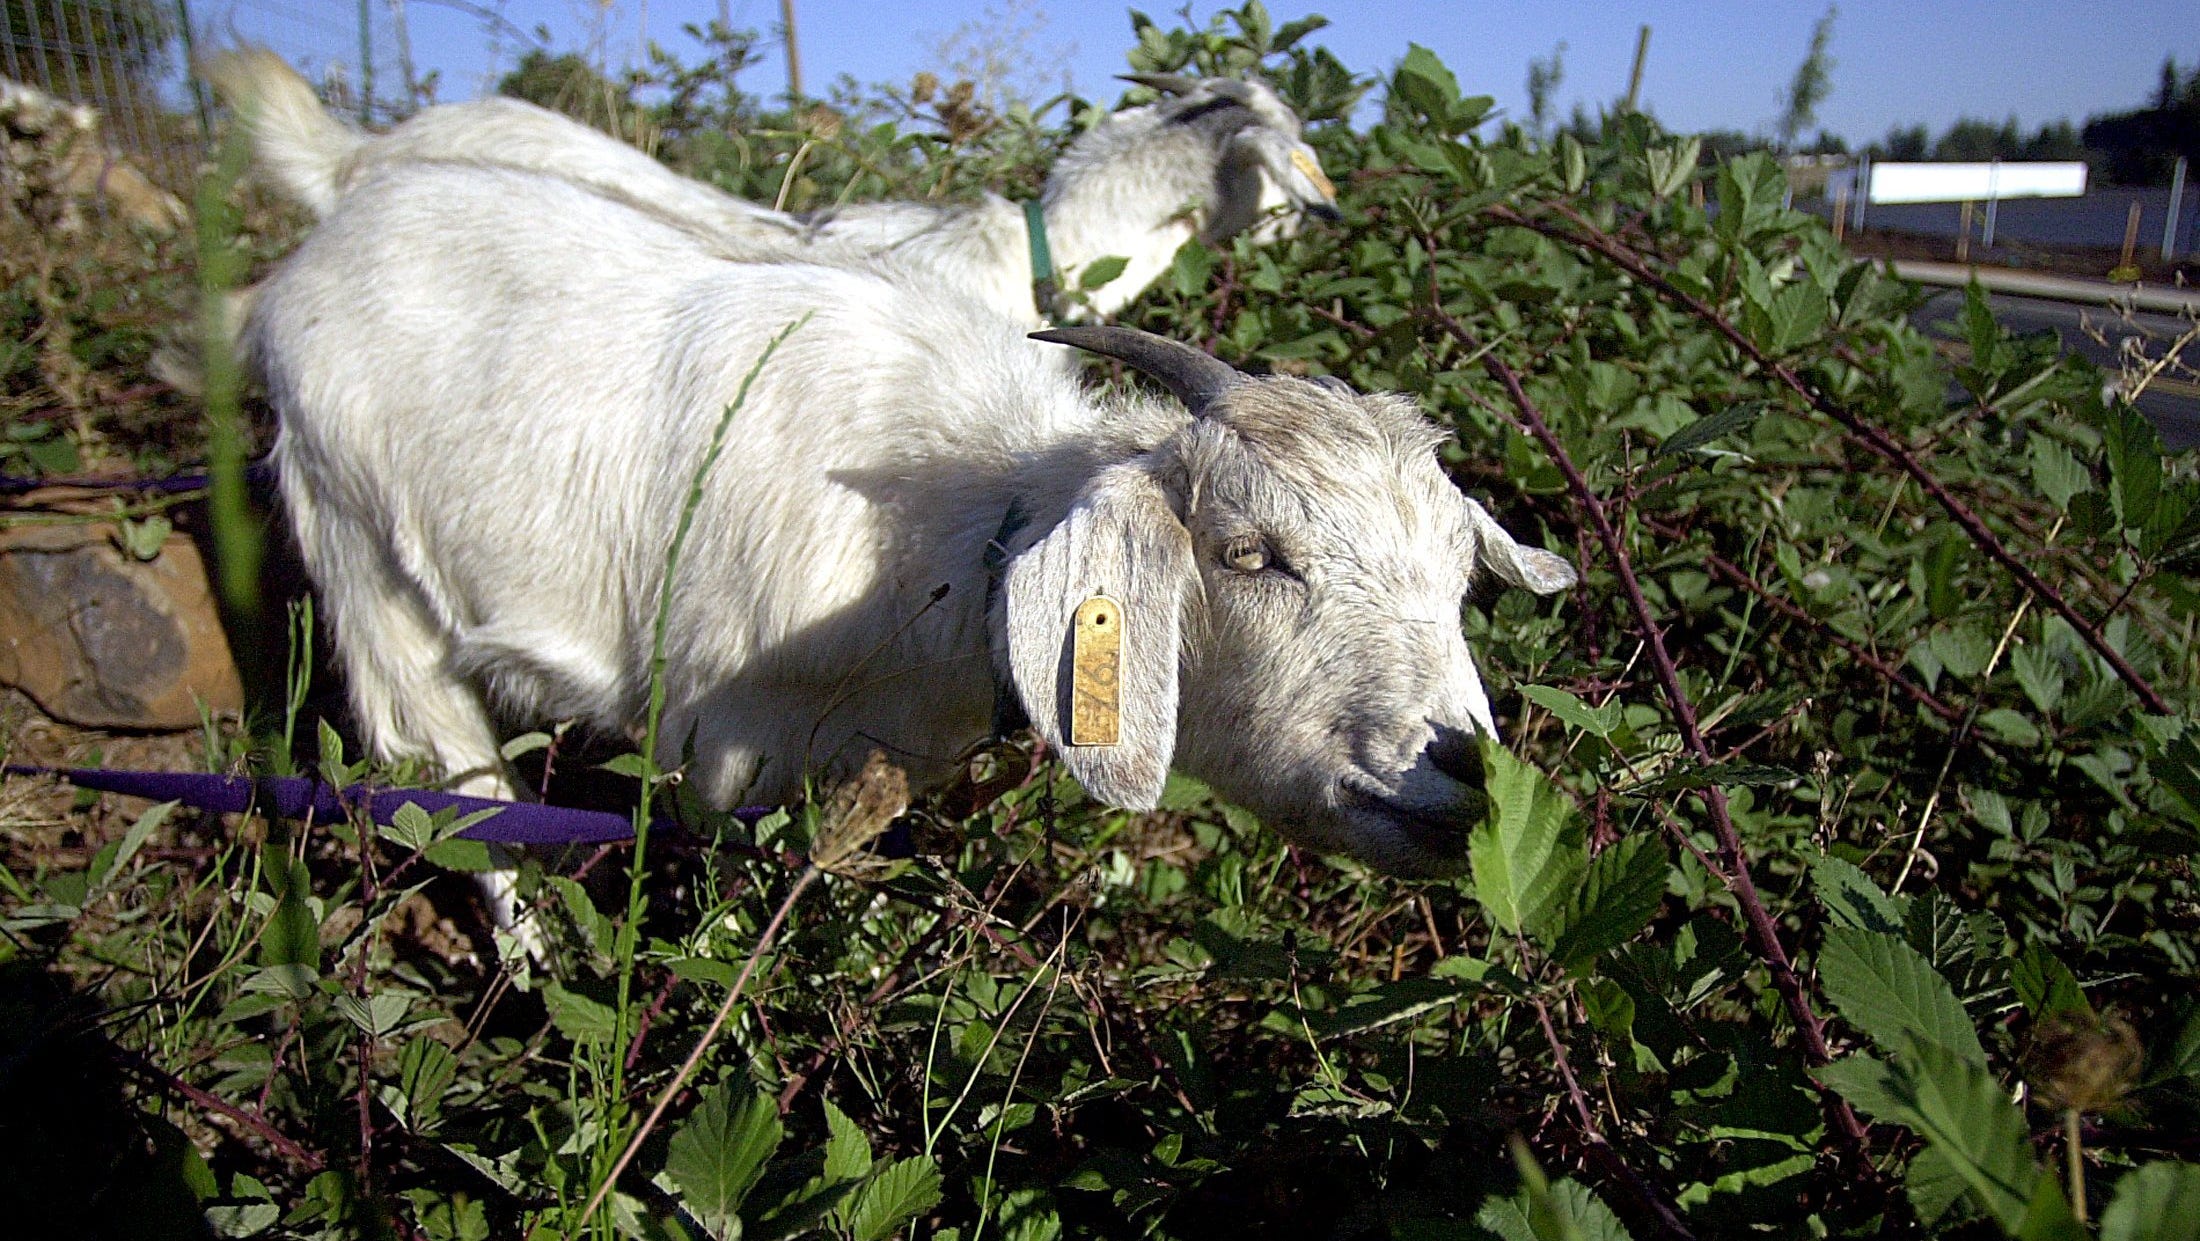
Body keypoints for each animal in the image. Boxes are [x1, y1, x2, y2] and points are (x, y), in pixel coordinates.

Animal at [244, 159, 1571, 944]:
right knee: (454, 787)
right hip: (363, 556)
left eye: (1460, 578)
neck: (966, 534)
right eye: (1248, 553)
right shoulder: (723, 752)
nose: (1463, 773)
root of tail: (313, 252)